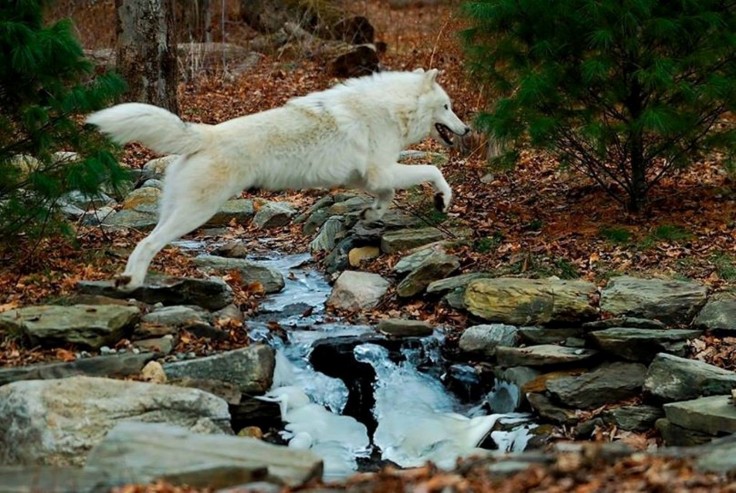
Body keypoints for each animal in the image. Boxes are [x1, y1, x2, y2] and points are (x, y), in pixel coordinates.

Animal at [86, 69, 470, 290]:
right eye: (448, 107)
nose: (467, 130)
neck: (392, 108)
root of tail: (204, 134)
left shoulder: (367, 176)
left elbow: (386, 195)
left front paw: (371, 214)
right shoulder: (383, 169)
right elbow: (434, 171)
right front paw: (443, 199)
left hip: (176, 210)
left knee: (145, 240)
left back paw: (126, 279)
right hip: (195, 214)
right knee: (147, 243)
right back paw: (132, 283)